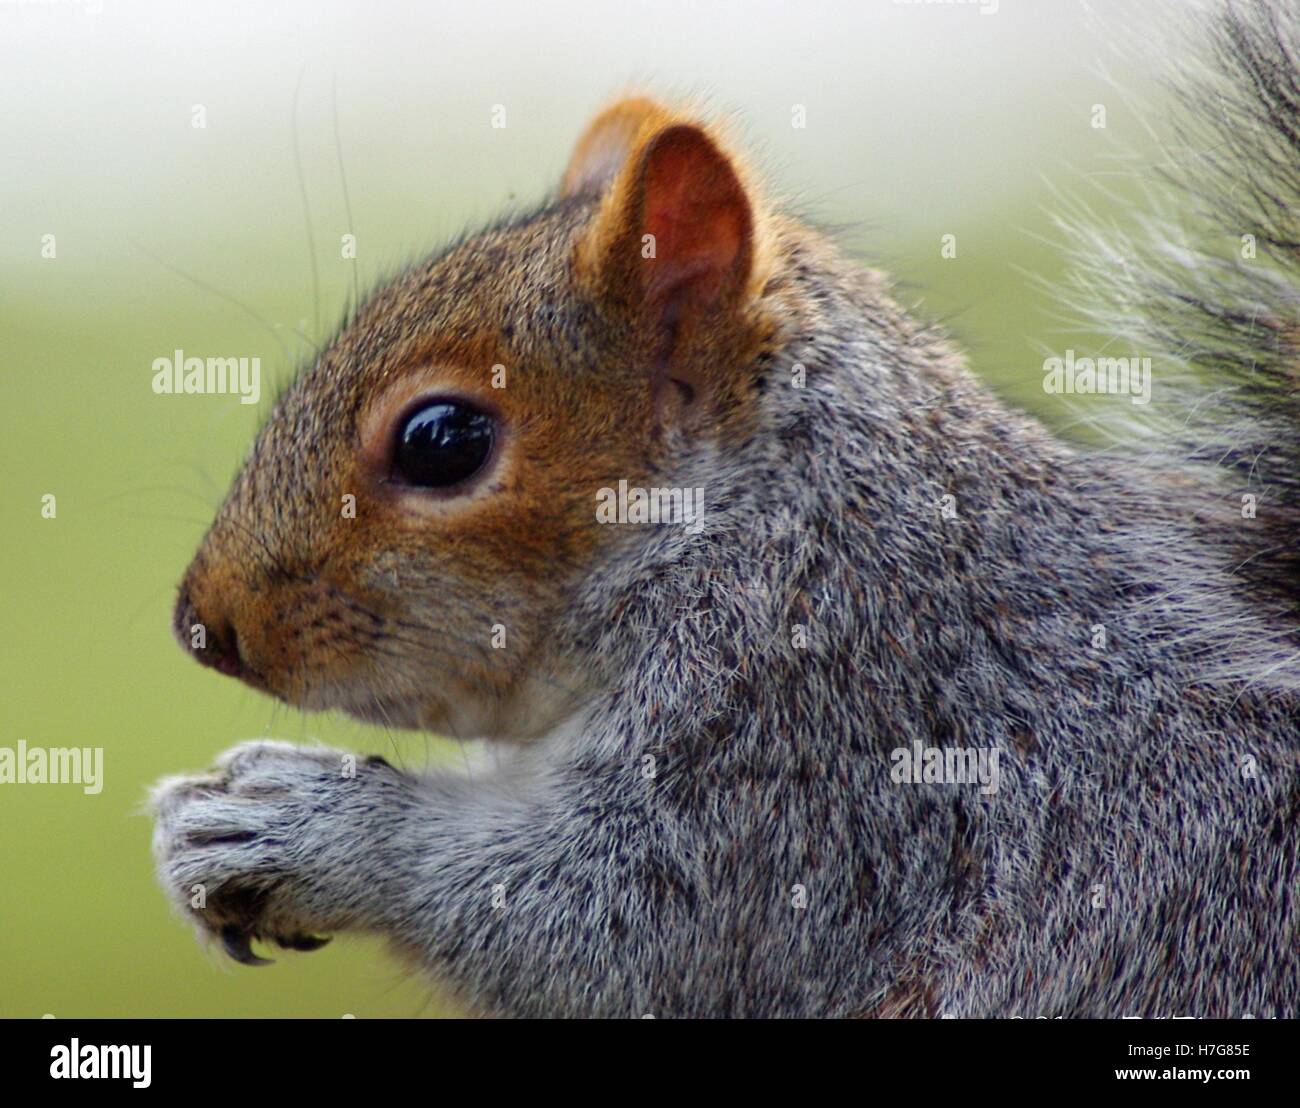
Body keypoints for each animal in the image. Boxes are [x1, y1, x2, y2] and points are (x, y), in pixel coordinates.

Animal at [152, 2, 1300, 1017]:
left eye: (442, 441)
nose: (204, 624)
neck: (763, 518)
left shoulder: (826, 741)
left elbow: (620, 925)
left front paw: (298, 823)